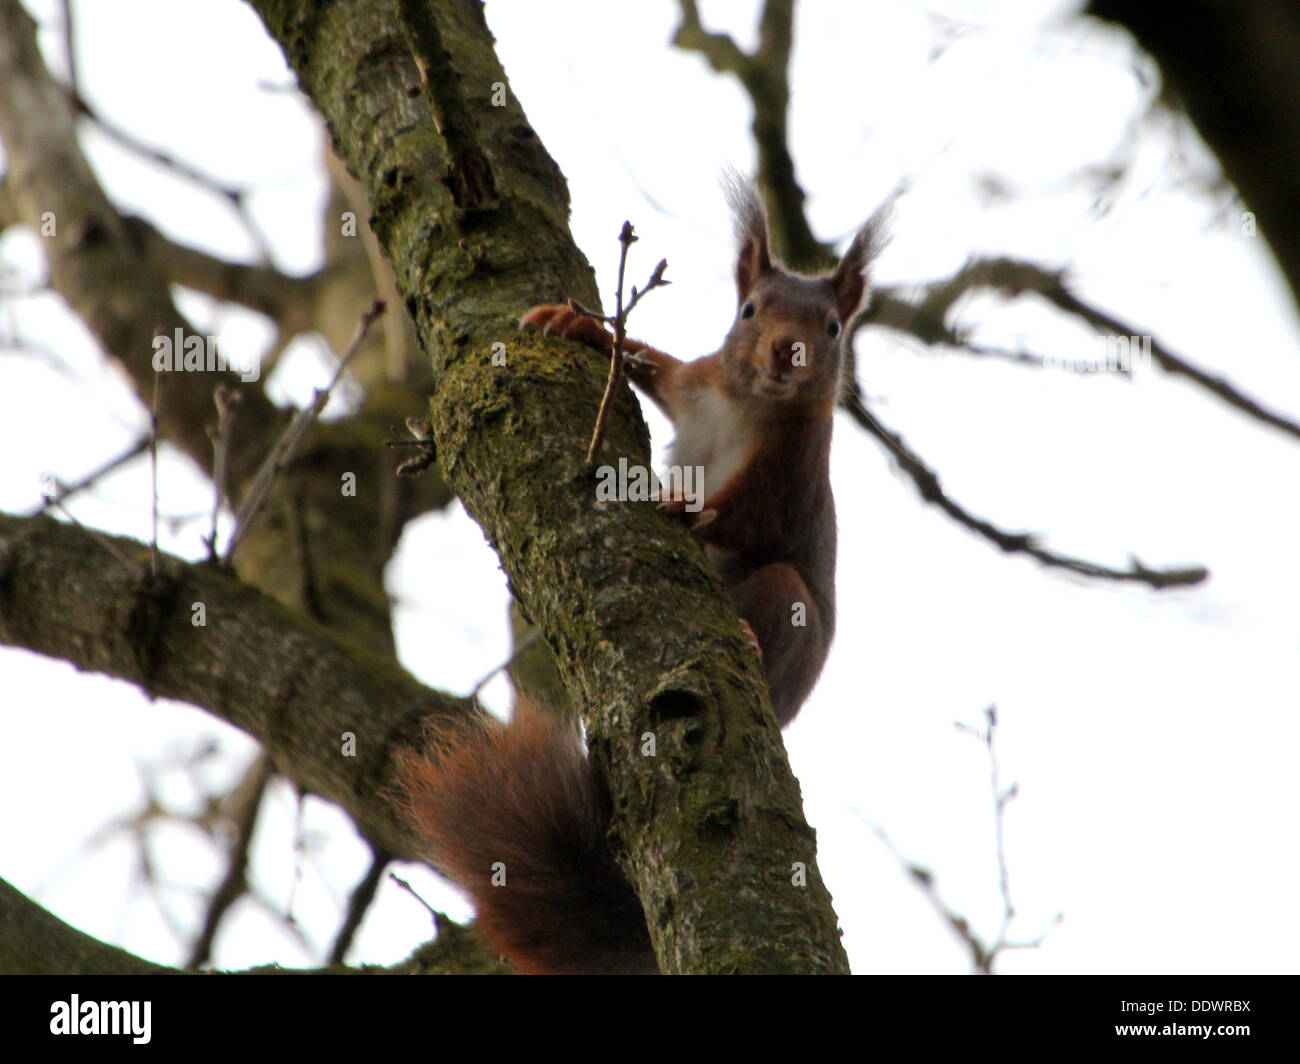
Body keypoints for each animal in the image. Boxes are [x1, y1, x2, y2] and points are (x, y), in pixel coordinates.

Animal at [399, 179, 887, 973]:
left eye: (834, 327)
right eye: (750, 310)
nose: (788, 352)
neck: (749, 403)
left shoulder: (791, 474)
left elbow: (747, 521)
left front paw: (680, 502)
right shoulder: (695, 386)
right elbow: (654, 363)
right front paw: (581, 327)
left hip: (789, 612)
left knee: (778, 596)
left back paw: (751, 637)